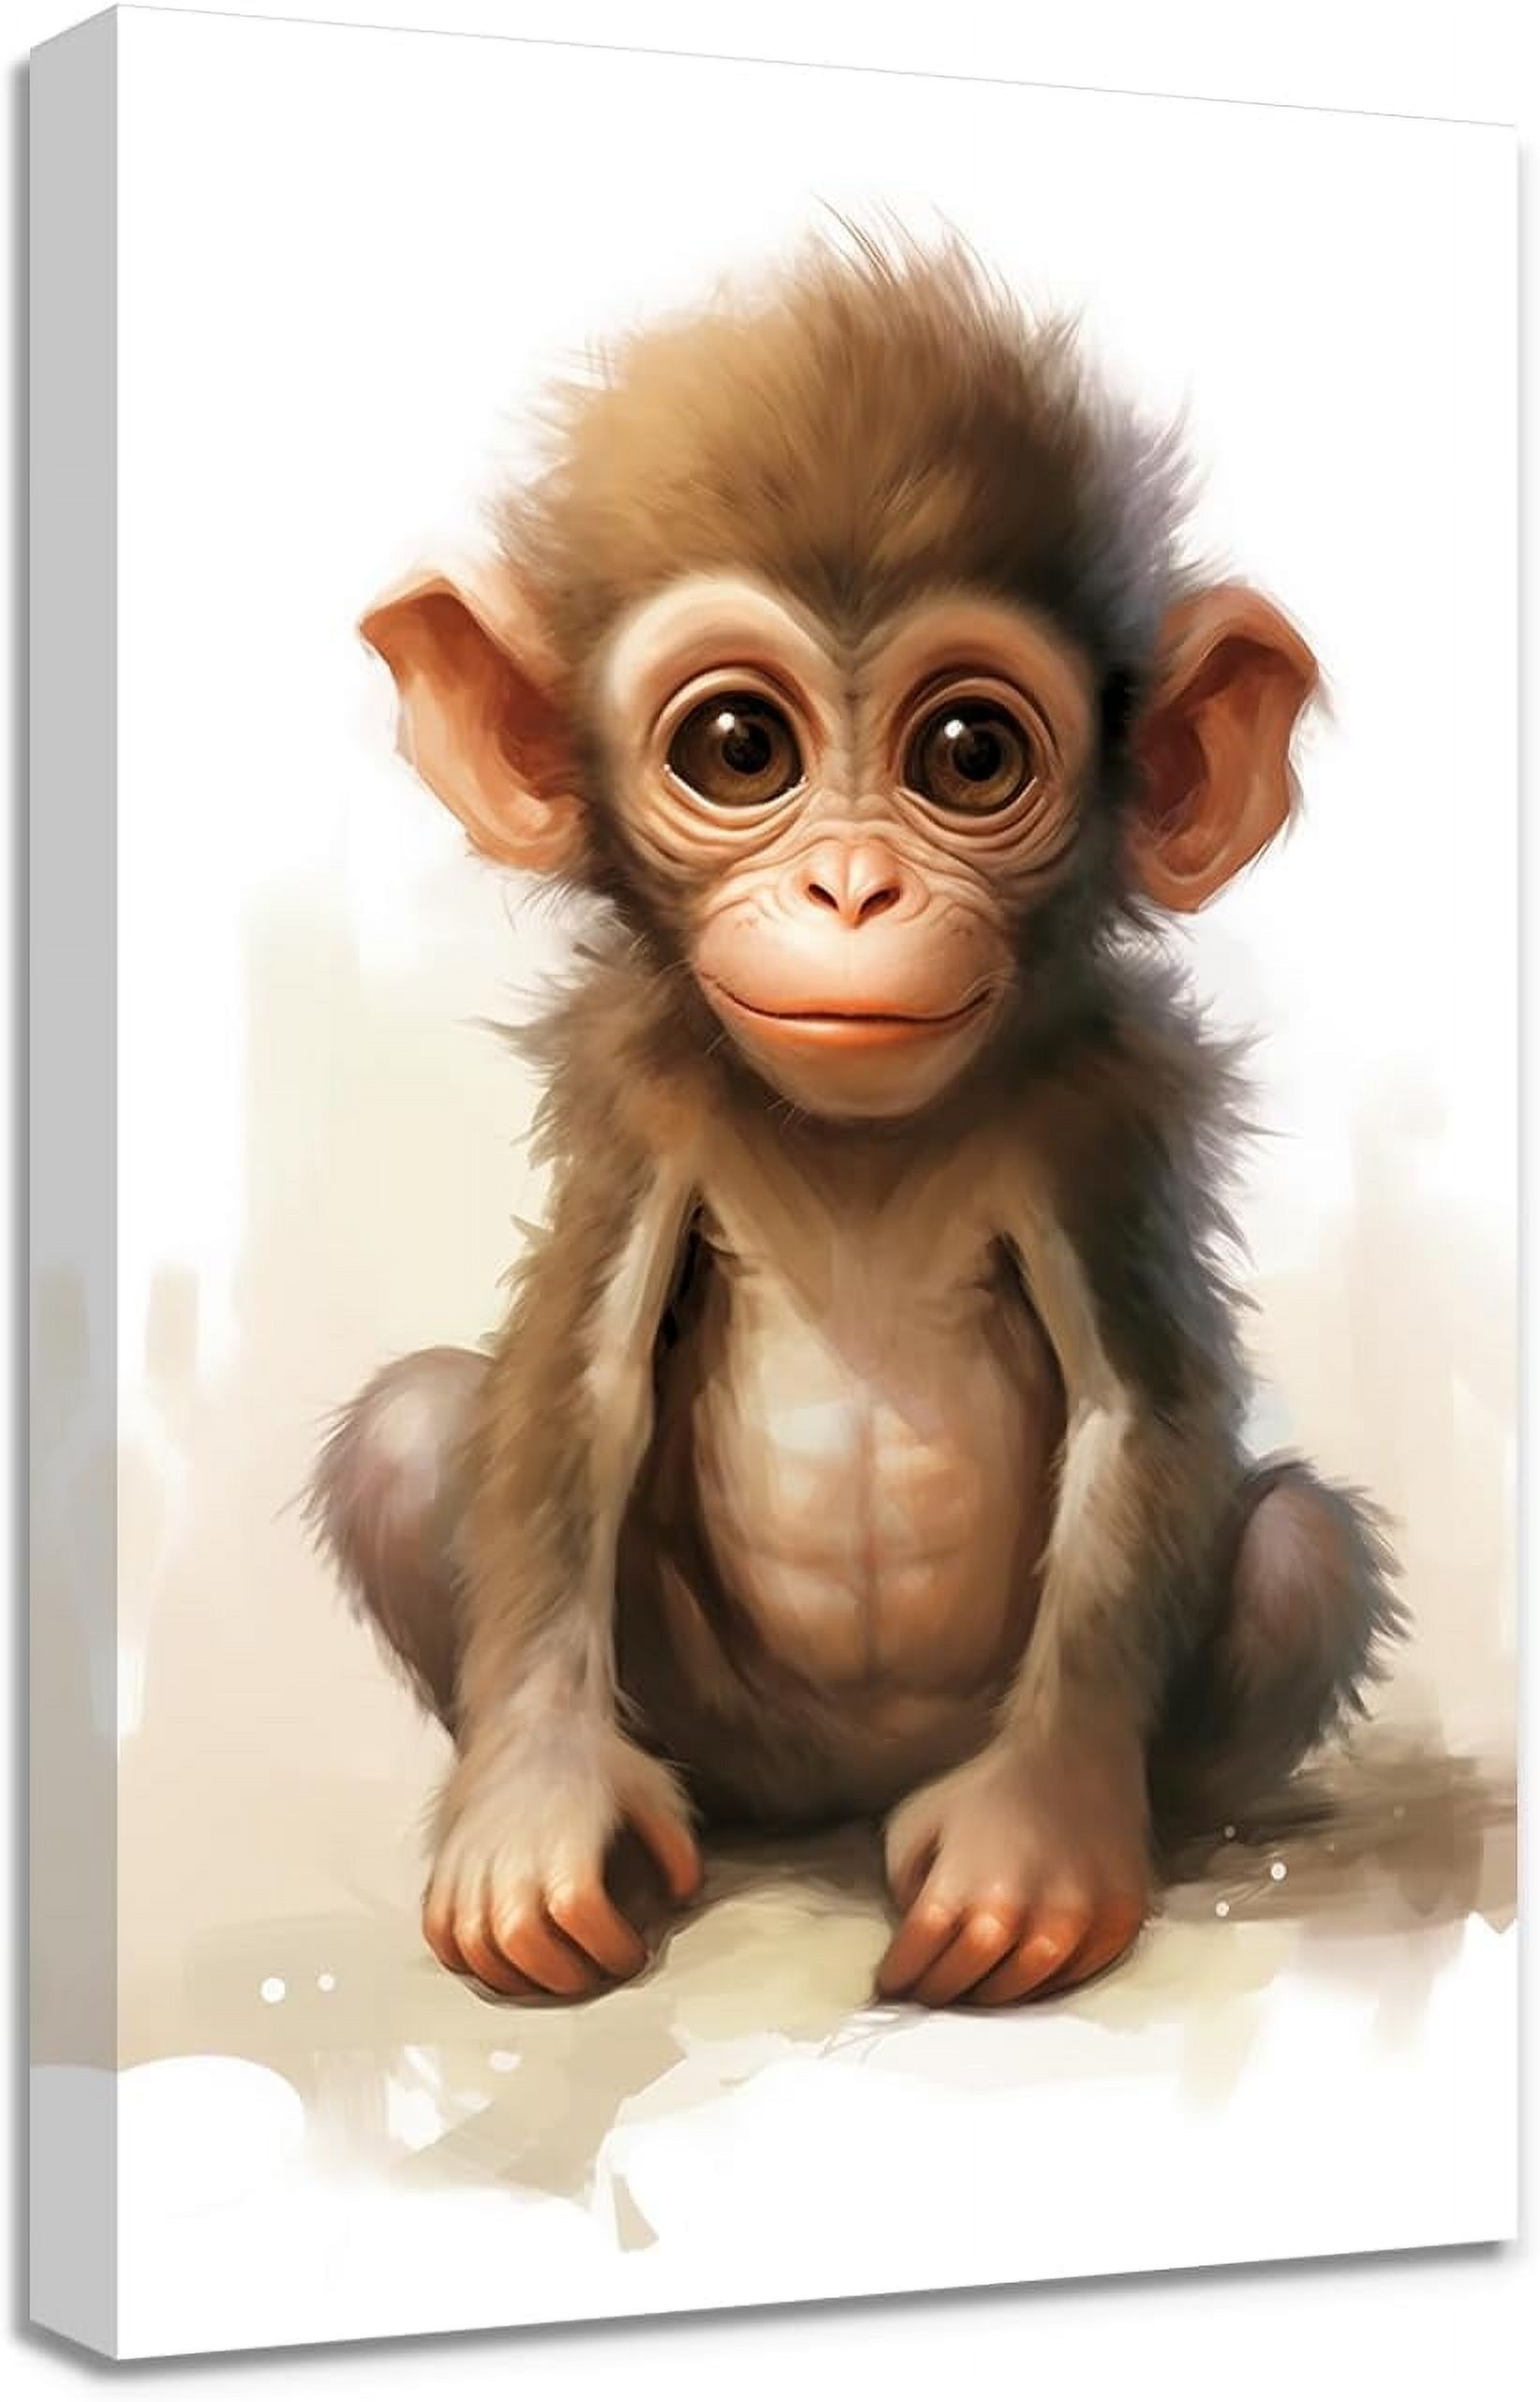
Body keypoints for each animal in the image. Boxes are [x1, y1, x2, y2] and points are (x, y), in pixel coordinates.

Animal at [310, 233, 1402, 2011]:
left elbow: (1140, 1411)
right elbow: (574, 1383)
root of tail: (831, 1803)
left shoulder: (1103, 1105)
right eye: (738, 746)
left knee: (1299, 1546)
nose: (850, 888)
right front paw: (533, 1805)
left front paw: (1038, 1843)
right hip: (720, 1733)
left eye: (966, 752)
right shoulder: (634, 1084)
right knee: (413, 1434)